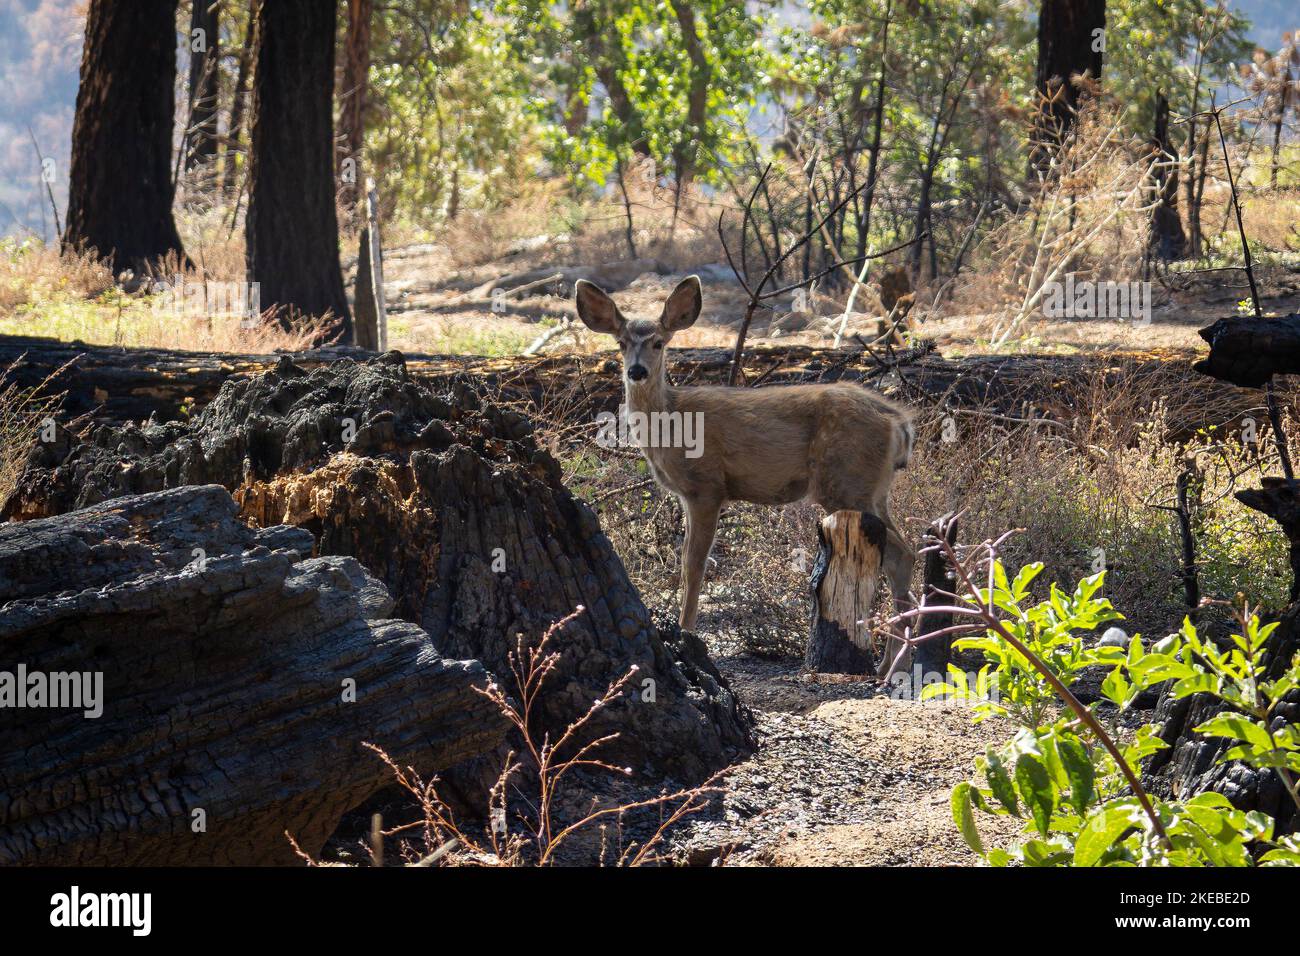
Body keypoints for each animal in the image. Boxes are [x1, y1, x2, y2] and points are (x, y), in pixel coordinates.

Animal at [575, 274, 916, 632]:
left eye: (658, 343)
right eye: (621, 343)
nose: (637, 371)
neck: (671, 422)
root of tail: (899, 422)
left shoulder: (706, 486)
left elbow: (694, 565)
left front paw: (686, 629)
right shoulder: (688, 493)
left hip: (844, 481)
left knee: (901, 555)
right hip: (873, 489)